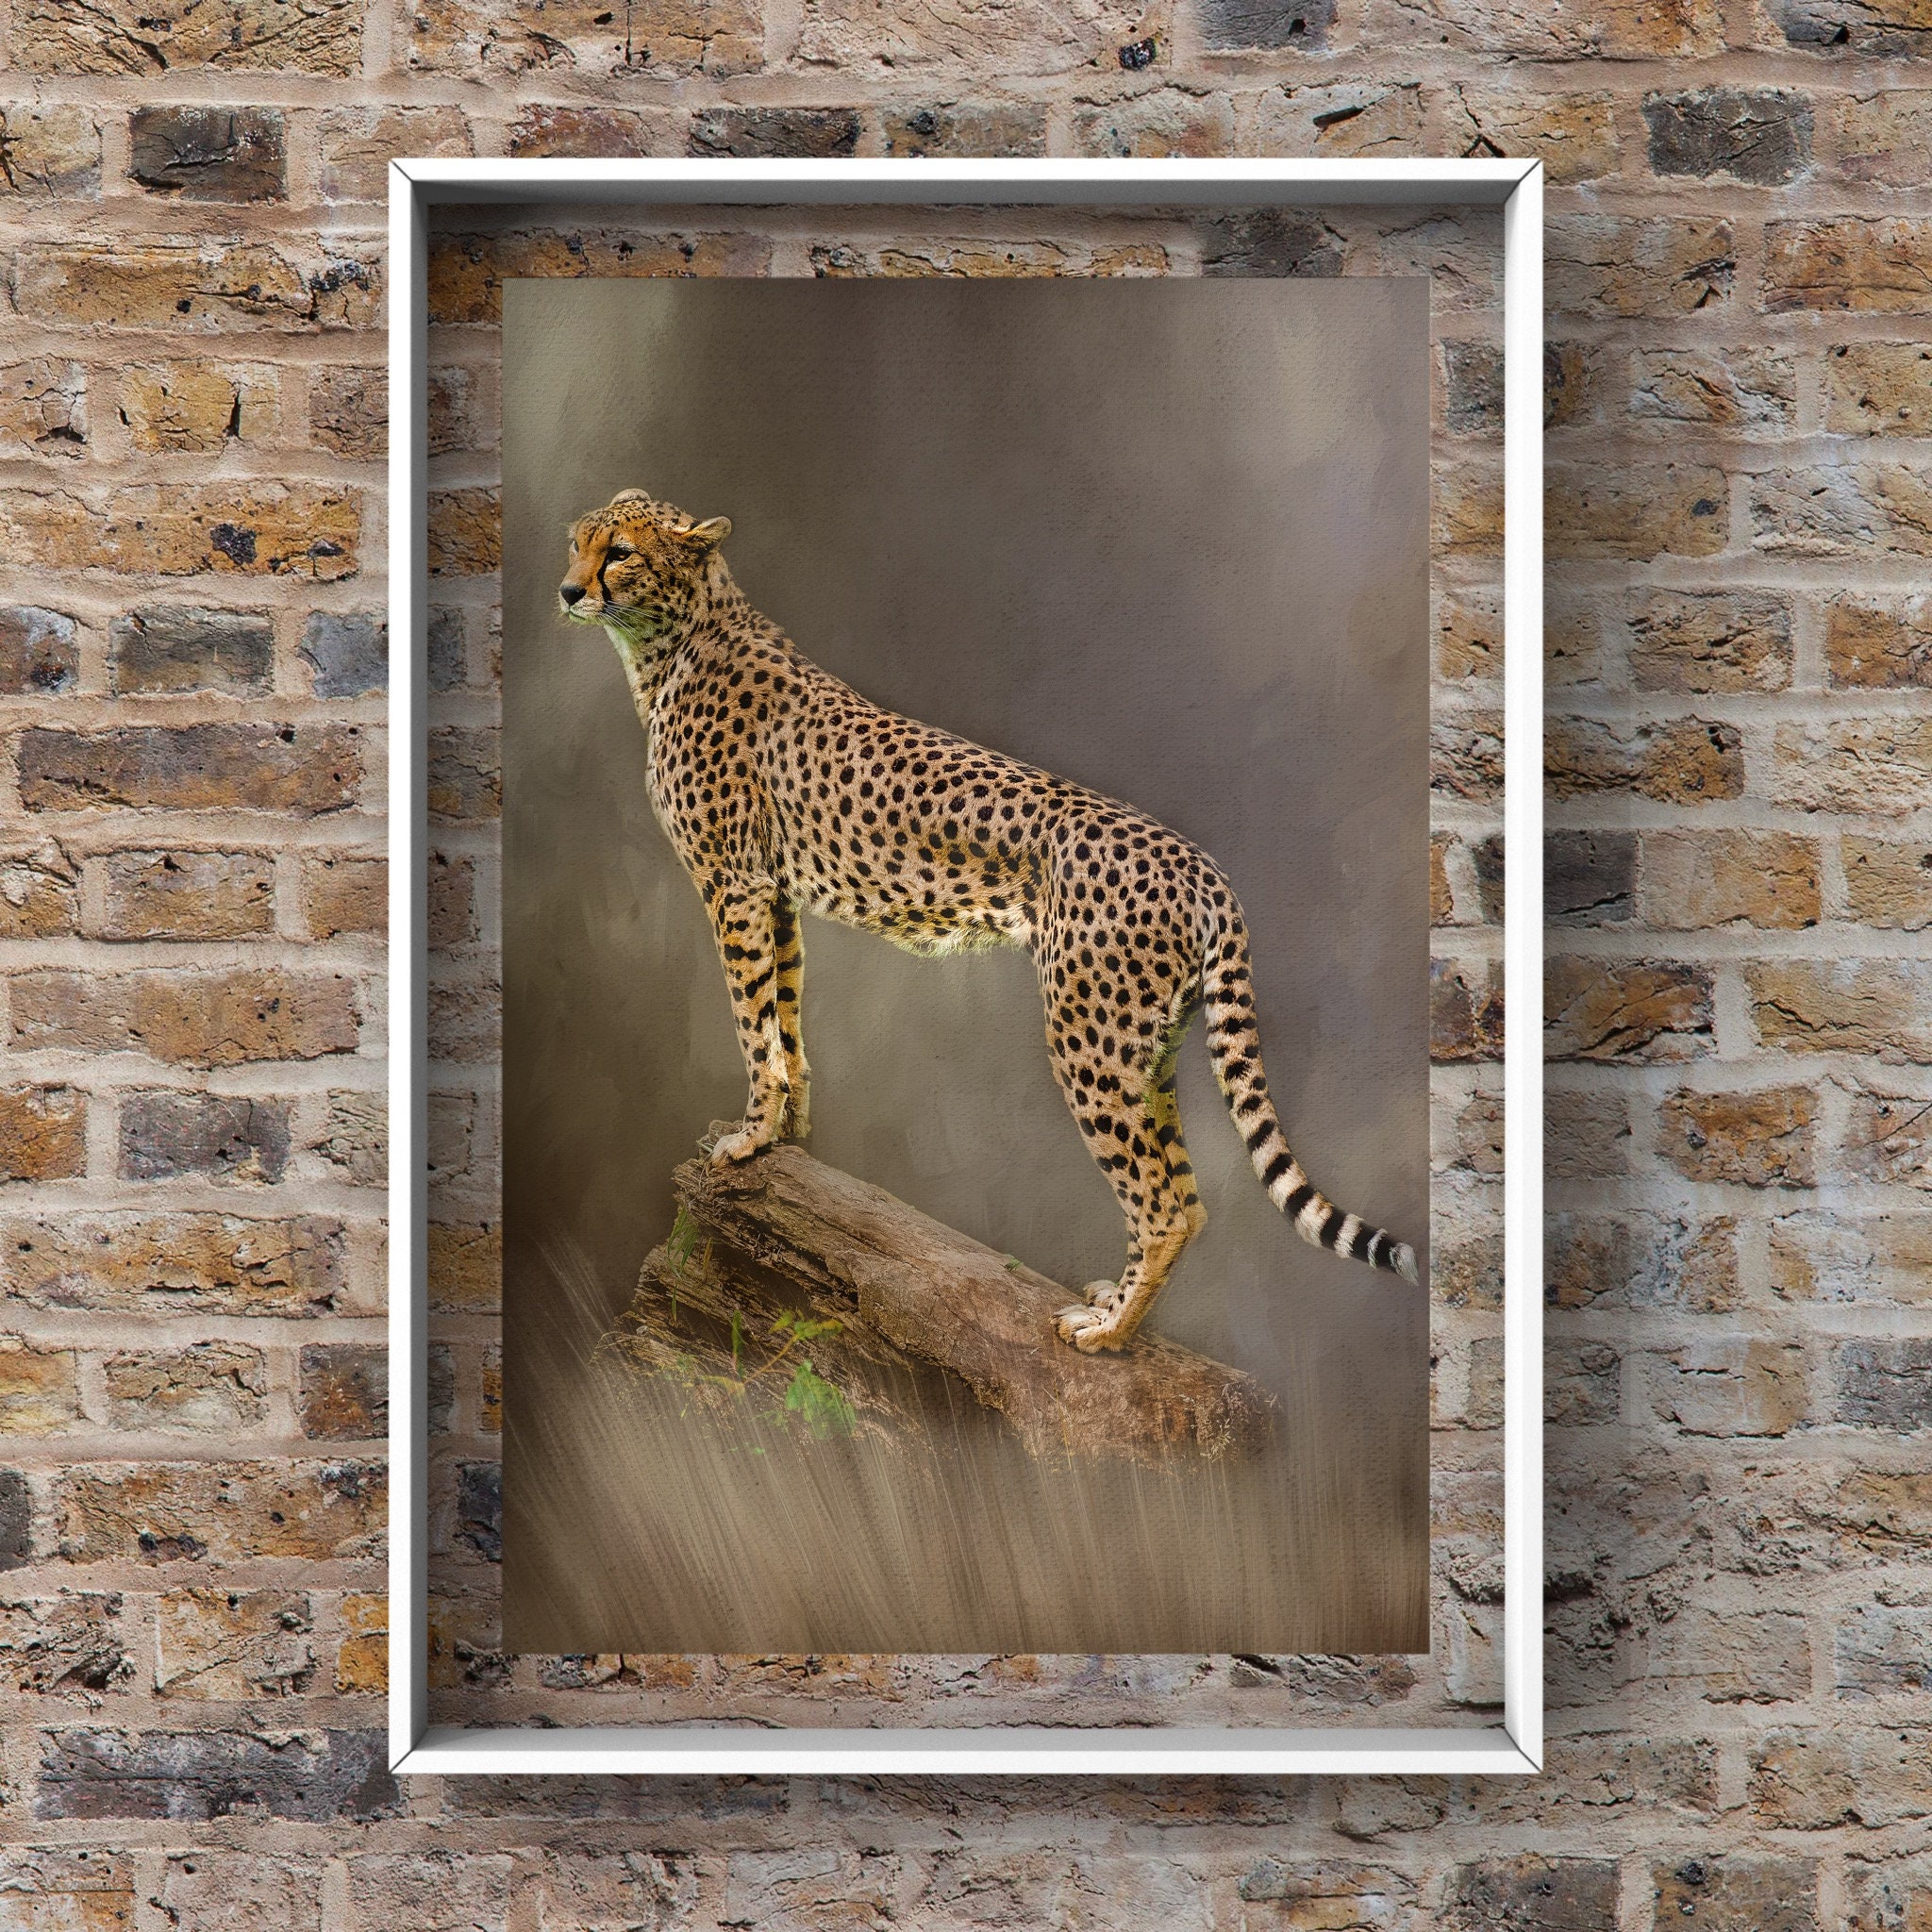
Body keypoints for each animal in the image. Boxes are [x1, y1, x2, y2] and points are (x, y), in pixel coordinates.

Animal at [558, 488, 1420, 1354]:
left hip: (1088, 1037)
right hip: (1150, 1047)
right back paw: (1115, 1308)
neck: (676, 639)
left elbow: (750, 1021)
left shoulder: (733, 885)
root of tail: (1200, 864)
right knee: (1182, 1189)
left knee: (1166, 1202)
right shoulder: (774, 894)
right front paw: (787, 1132)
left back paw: (1108, 1336)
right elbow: (785, 1018)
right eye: (576, 543)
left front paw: (749, 1138)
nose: (567, 592)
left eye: (621, 553)